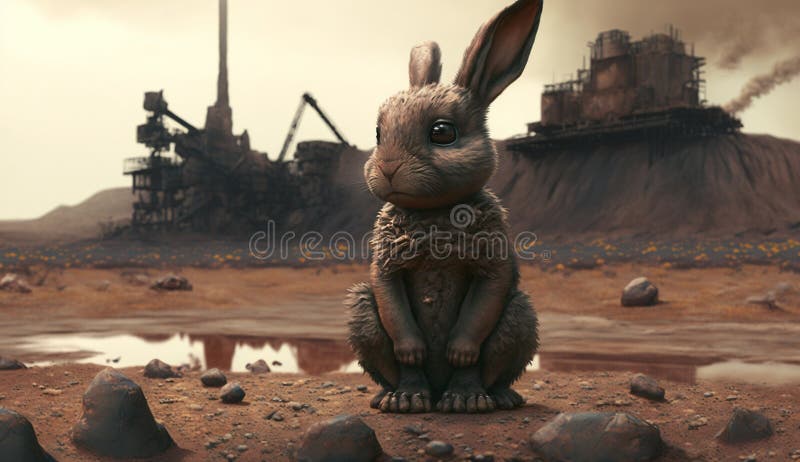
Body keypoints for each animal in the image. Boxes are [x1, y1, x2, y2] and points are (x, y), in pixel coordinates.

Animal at [347, 0, 543, 413]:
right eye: (378, 133)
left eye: (442, 132)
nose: (388, 168)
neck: (432, 210)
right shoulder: (386, 264)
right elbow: (392, 304)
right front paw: (412, 351)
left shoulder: (493, 261)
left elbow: (479, 312)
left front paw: (460, 352)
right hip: (360, 313)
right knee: (400, 369)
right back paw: (402, 399)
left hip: (520, 316)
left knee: (485, 371)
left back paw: (474, 400)